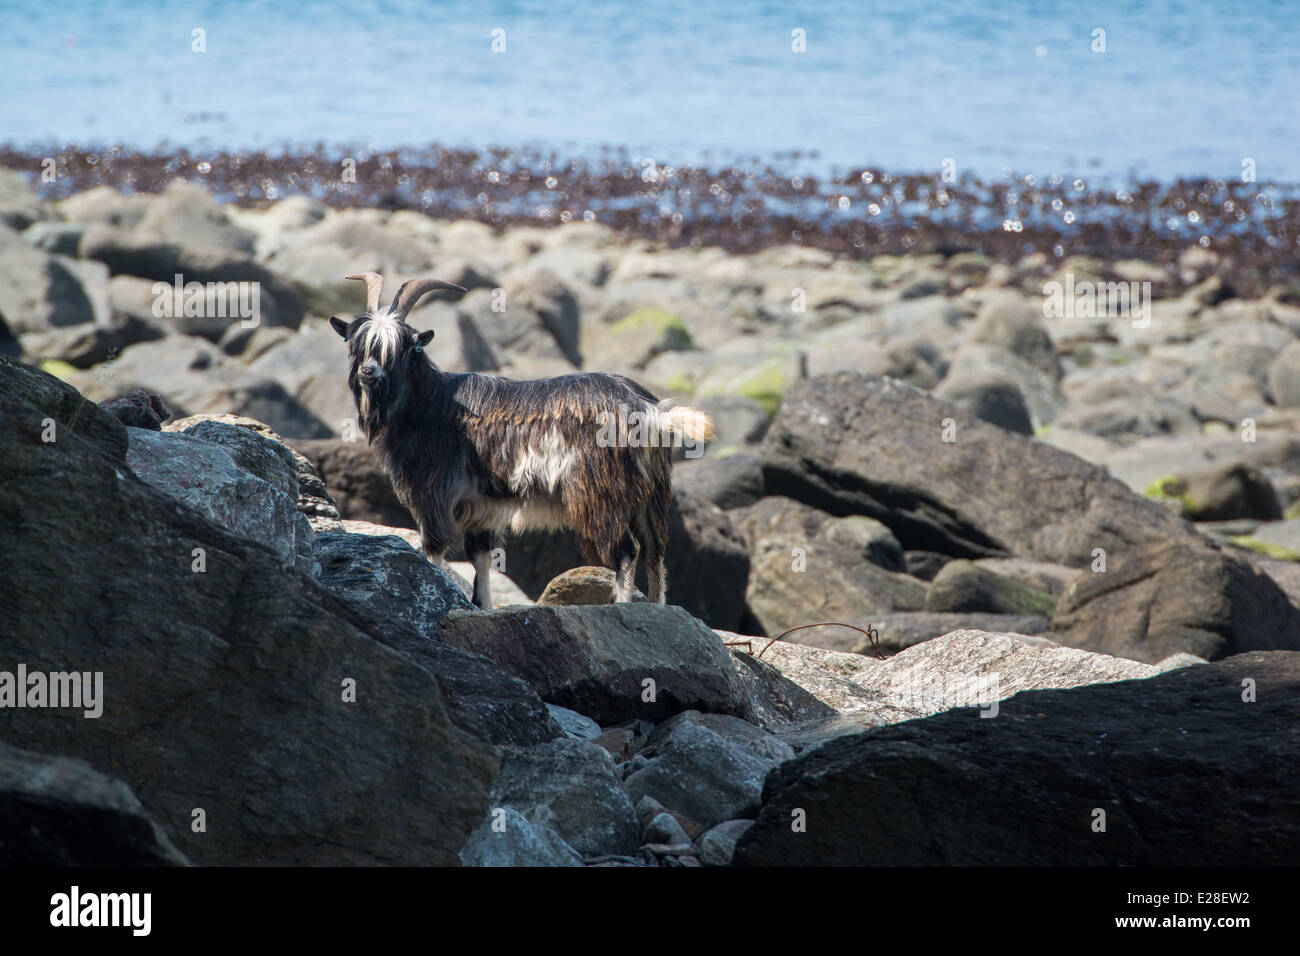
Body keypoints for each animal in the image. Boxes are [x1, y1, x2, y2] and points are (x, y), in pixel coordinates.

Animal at [330, 272, 714, 609]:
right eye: (357, 343)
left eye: (400, 348)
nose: (368, 373)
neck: (431, 403)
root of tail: (649, 409)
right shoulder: (482, 505)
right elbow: (481, 558)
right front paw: (483, 606)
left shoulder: (433, 491)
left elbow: (434, 548)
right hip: (651, 493)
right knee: (655, 550)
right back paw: (659, 610)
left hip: (601, 492)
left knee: (625, 550)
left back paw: (622, 606)